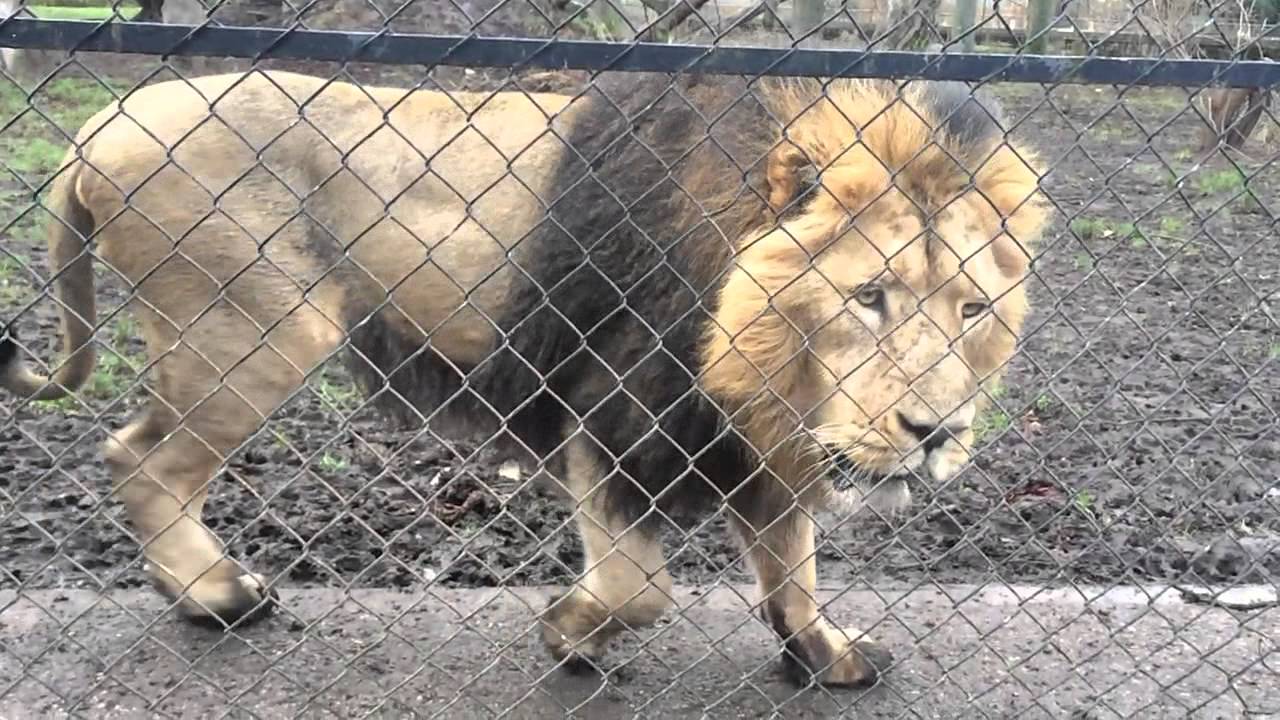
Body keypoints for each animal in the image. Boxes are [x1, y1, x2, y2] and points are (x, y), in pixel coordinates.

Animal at [0, 69, 1047, 688]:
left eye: (971, 310)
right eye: (870, 296)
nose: (935, 433)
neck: (761, 356)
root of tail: (100, 124)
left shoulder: (762, 437)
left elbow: (794, 563)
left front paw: (823, 656)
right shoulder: (615, 413)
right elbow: (640, 586)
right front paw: (570, 636)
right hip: (254, 331)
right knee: (140, 460)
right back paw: (218, 598)